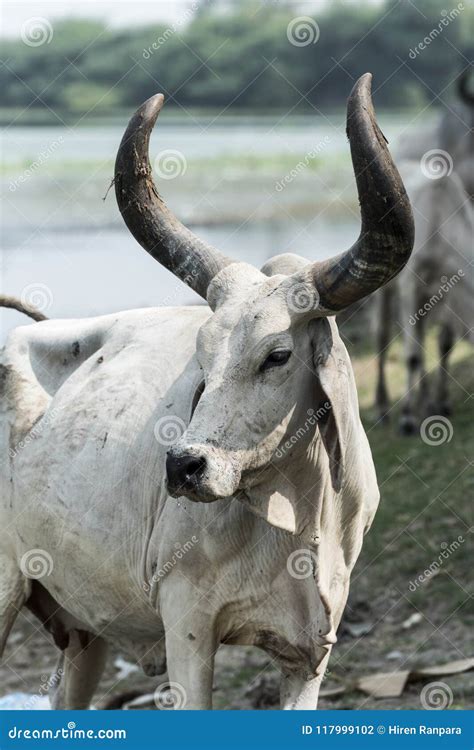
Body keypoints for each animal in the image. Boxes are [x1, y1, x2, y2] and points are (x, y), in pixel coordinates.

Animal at [0, 74, 414, 710]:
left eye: (277, 356)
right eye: (202, 355)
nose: (185, 467)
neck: (294, 514)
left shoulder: (312, 650)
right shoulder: (187, 622)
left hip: (82, 629)